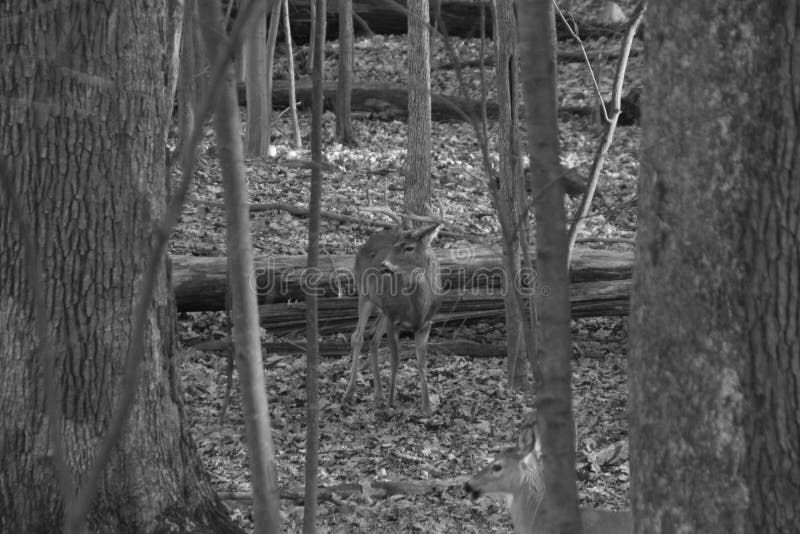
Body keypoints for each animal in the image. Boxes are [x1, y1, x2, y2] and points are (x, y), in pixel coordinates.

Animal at [342, 223, 442, 413]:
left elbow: (421, 363)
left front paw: (427, 406)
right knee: (357, 336)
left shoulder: (426, 324)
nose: (384, 265)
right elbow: (395, 360)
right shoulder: (393, 321)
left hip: (383, 308)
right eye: (394, 246)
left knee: (372, 336)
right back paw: (349, 392)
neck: (417, 309)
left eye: (409, 247)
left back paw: (378, 395)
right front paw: (391, 403)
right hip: (365, 293)